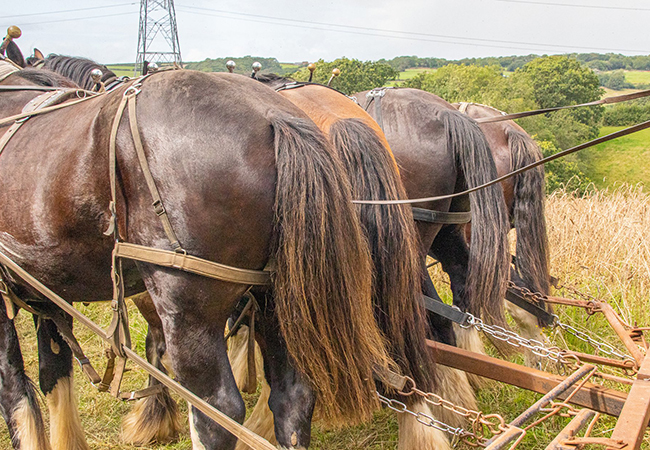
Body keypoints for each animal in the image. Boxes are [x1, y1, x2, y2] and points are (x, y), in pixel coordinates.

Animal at [0, 43, 396, 450]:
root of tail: (275, 115)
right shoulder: (44, 291)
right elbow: (54, 371)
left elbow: (16, 389)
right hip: (280, 295)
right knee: (293, 398)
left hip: (188, 306)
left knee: (216, 413)